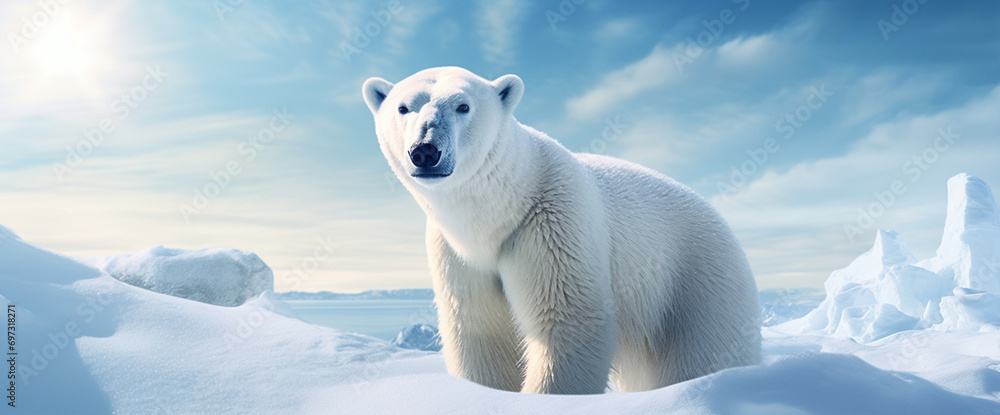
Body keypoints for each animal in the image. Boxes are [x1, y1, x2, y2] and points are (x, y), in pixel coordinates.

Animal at [362, 67, 761, 394]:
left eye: (463, 106)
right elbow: (481, 334)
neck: (501, 210)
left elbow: (567, 320)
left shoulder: (553, 223)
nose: (425, 151)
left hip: (695, 284)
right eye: (403, 108)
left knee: (706, 352)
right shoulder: (458, 254)